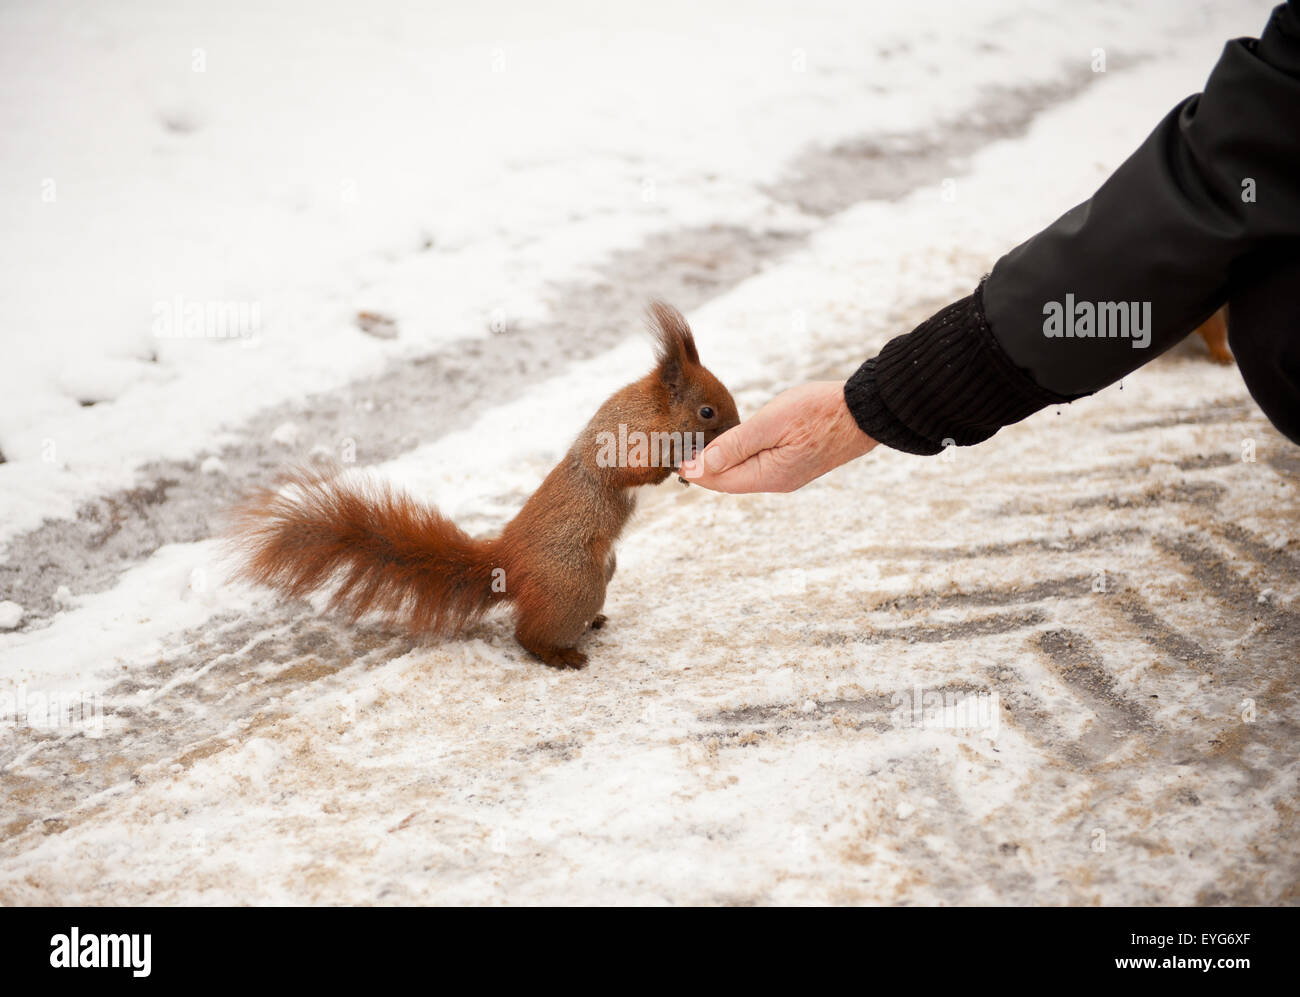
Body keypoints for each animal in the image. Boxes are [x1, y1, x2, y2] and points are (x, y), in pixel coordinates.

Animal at [229, 301, 739, 670]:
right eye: (707, 411)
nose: (737, 427)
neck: (654, 412)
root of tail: (508, 563)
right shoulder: (621, 440)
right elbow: (624, 473)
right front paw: (672, 468)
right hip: (576, 582)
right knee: (525, 634)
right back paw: (559, 654)